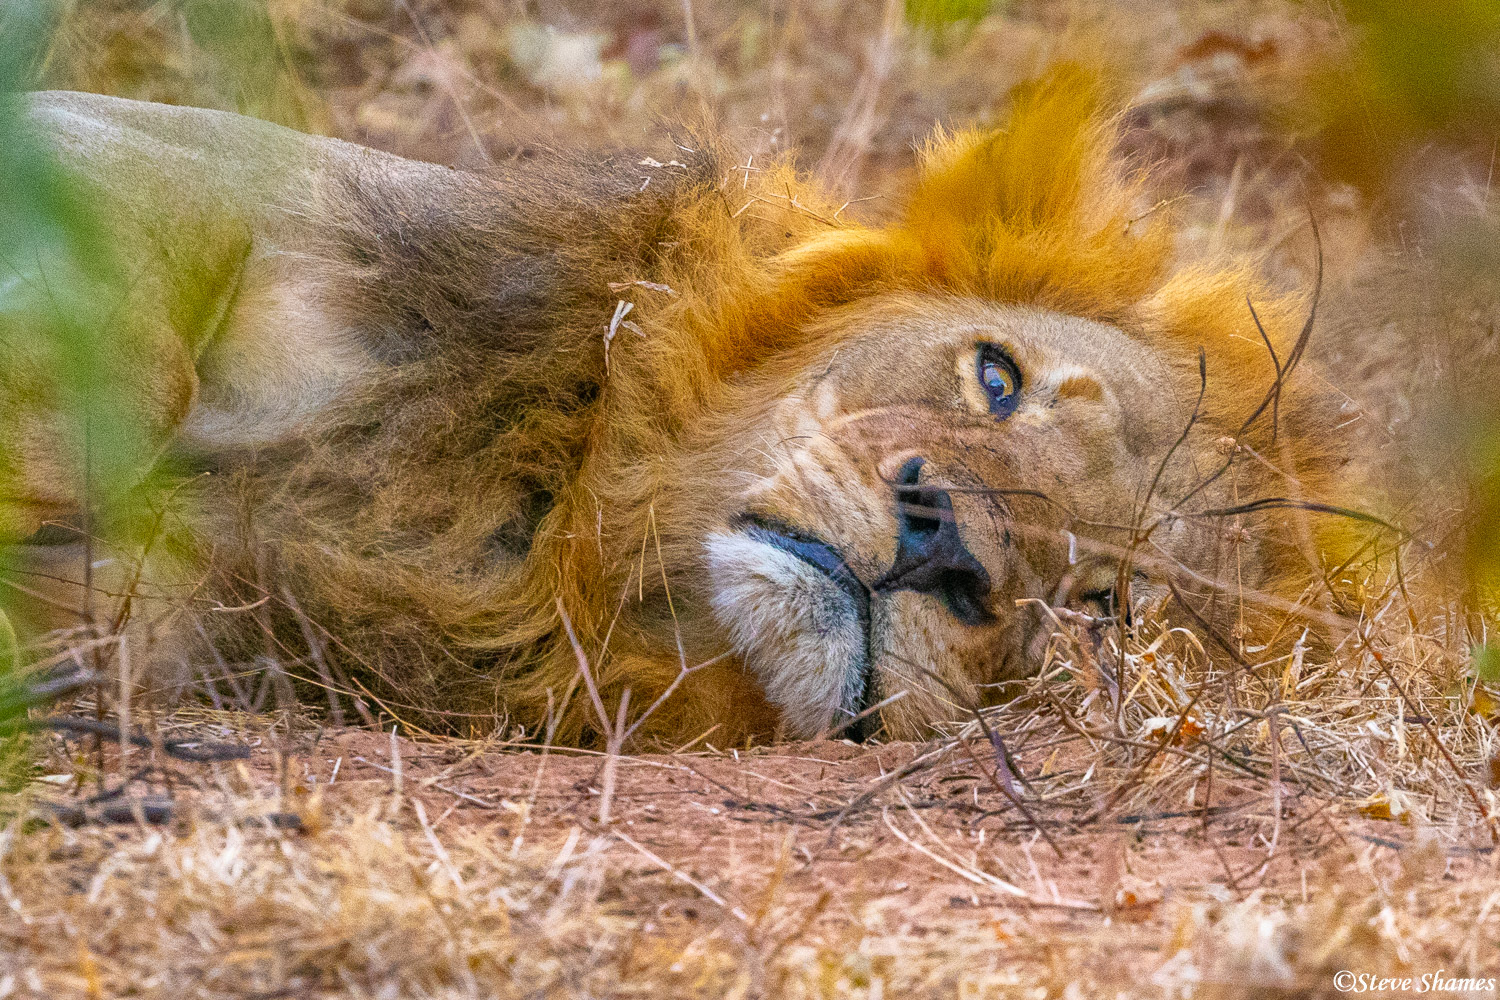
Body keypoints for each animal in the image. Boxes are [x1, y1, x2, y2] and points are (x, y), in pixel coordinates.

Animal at [1, 68, 1352, 744]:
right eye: (996, 378)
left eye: (1101, 607)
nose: (945, 546)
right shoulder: (151, 165)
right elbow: (142, 362)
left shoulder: (175, 625)